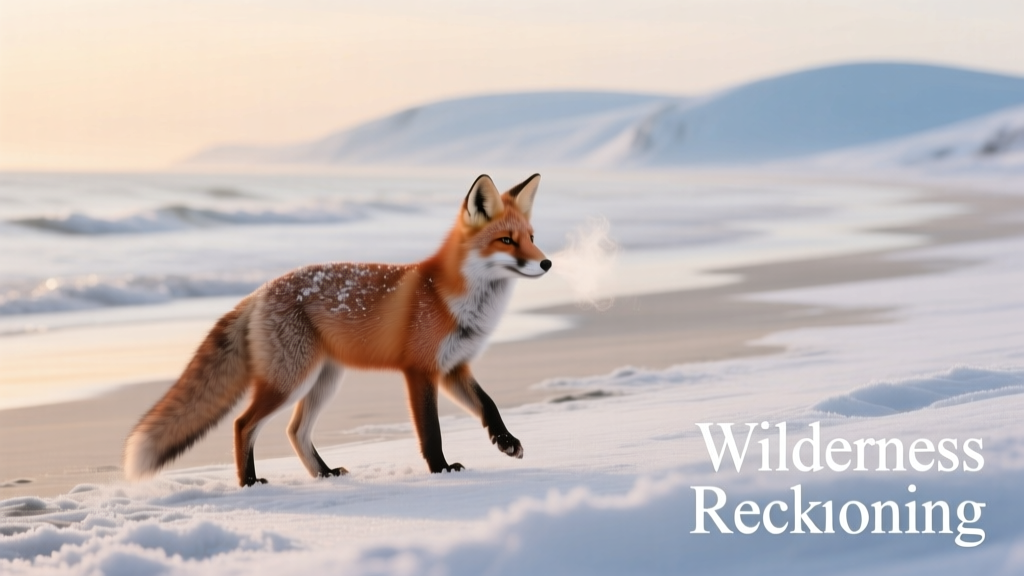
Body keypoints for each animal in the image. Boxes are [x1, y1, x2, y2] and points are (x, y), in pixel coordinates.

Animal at [124, 174, 551, 486]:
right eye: (506, 240)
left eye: (532, 237)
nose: (546, 263)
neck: (453, 299)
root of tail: (260, 291)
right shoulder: (420, 371)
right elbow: (431, 431)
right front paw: (441, 469)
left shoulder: (453, 368)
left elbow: (489, 405)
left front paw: (506, 441)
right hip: (291, 380)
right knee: (243, 424)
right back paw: (249, 482)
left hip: (323, 381)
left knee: (295, 431)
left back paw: (325, 473)